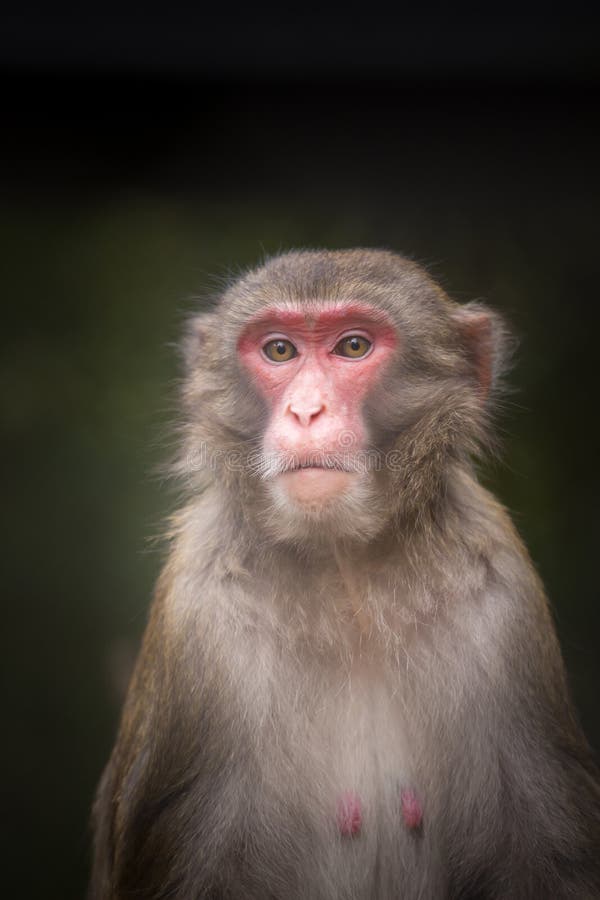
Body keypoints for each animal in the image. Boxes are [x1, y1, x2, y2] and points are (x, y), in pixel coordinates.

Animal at [90, 249, 600, 900]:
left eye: (353, 346)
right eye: (279, 351)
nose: (306, 410)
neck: (347, 579)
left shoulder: (501, 589)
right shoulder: (196, 610)